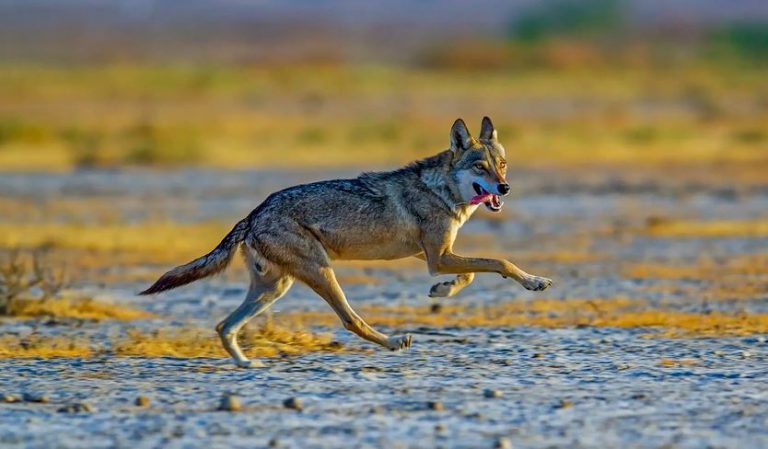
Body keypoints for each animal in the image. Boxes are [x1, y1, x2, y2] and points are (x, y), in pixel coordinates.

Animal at [140, 117, 553, 367]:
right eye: (480, 167)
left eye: (502, 165)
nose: (505, 188)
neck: (443, 191)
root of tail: (253, 213)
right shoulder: (438, 256)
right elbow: (499, 262)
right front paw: (533, 281)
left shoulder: (431, 255)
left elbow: (472, 274)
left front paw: (442, 291)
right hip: (320, 272)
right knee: (350, 320)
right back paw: (392, 342)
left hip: (274, 288)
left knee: (224, 325)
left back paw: (245, 363)